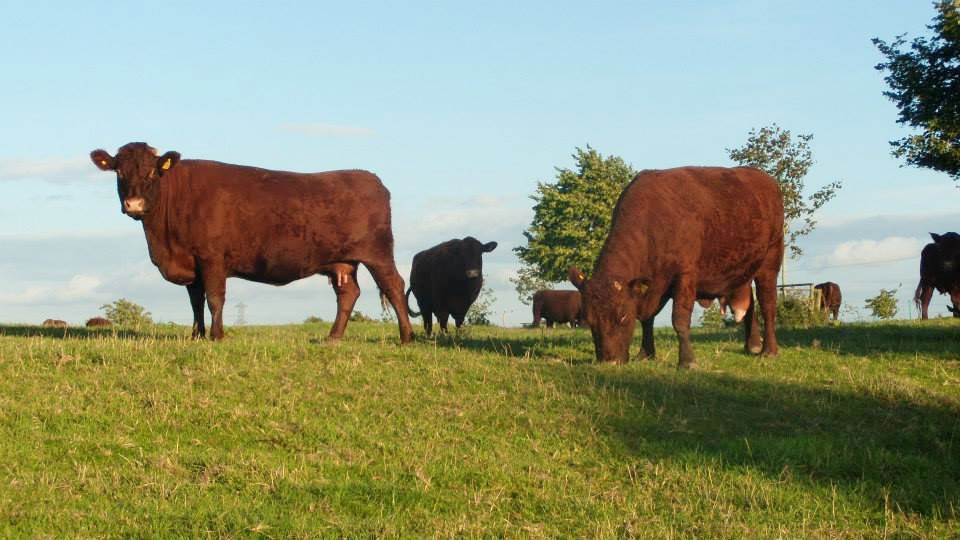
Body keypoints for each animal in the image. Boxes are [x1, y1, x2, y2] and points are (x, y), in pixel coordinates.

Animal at [90, 142, 413, 343]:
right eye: (119, 171)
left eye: (152, 171)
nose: (134, 204)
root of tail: (369, 177)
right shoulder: (191, 264)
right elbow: (195, 301)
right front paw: (196, 335)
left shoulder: (212, 257)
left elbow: (214, 297)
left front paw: (217, 336)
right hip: (342, 262)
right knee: (348, 294)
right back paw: (332, 338)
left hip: (377, 252)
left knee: (394, 286)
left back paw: (406, 337)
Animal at [569, 166, 783, 368]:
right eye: (589, 320)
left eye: (622, 316)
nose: (610, 361)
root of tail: (764, 178)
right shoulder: (653, 286)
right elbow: (647, 319)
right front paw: (645, 353)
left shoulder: (685, 275)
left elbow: (679, 318)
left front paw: (687, 361)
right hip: (744, 270)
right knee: (751, 304)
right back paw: (752, 344)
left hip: (770, 261)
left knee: (768, 304)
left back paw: (769, 350)